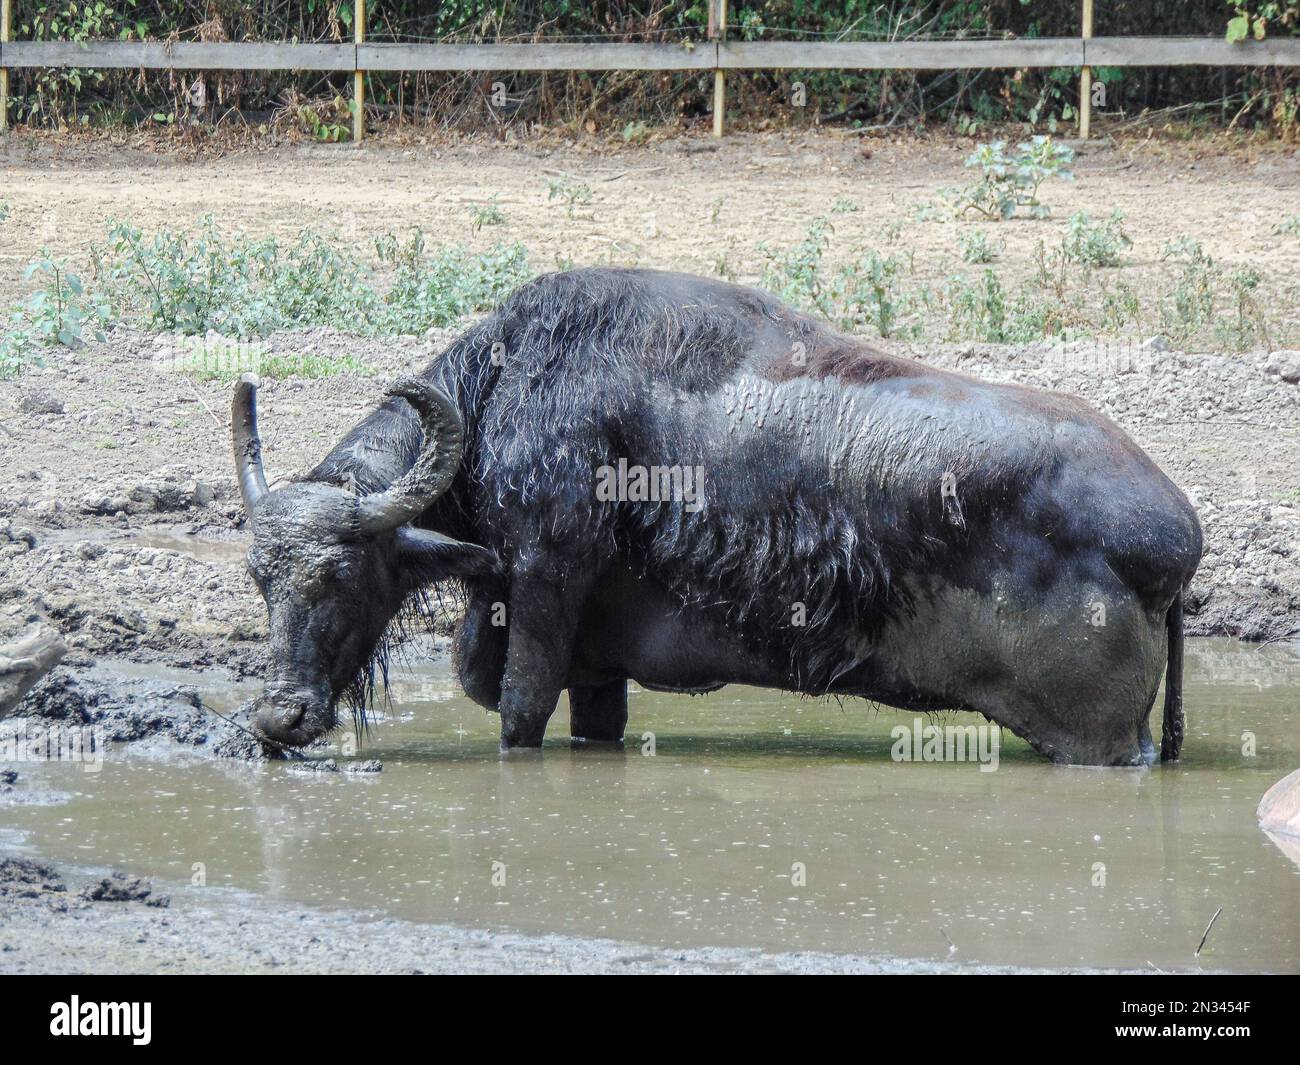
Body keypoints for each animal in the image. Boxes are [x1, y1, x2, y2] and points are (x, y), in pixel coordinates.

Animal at [233, 268, 1202, 766]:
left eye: (342, 573)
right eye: (259, 579)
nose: (280, 716)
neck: (507, 395)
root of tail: (1173, 536)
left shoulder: (544, 582)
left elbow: (512, 706)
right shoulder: (595, 666)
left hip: (1099, 742)